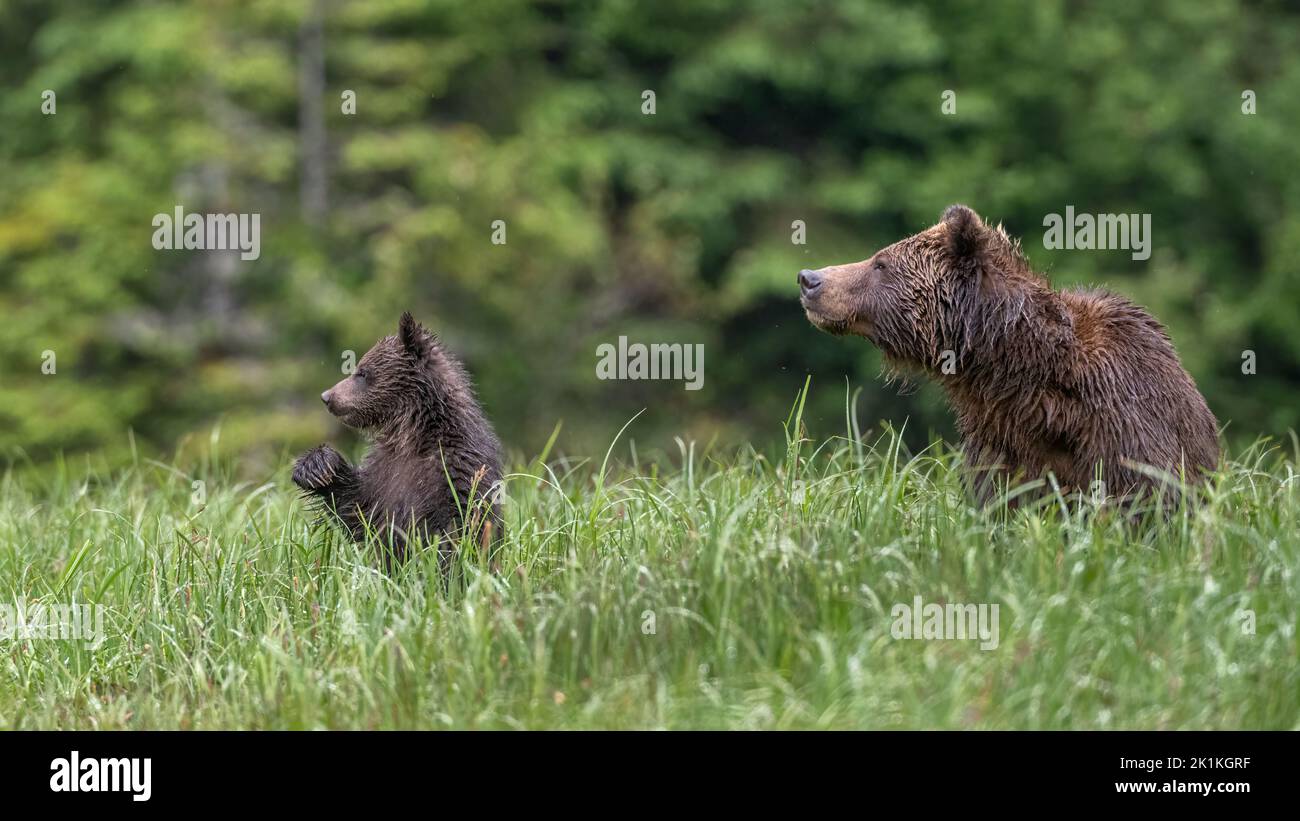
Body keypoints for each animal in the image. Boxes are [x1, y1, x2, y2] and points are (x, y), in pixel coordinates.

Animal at [292, 312, 503, 567]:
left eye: (362, 372)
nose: (327, 396)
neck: (414, 434)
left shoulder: (456, 468)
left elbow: (461, 526)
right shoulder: (385, 472)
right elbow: (358, 509)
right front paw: (317, 468)